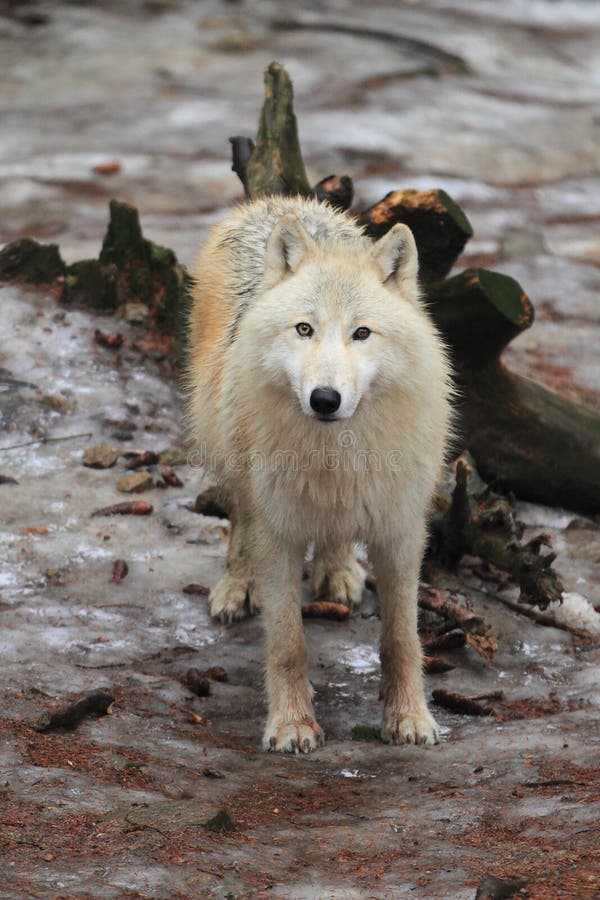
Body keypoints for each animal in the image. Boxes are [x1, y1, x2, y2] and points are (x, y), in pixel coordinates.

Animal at [187, 196, 452, 753]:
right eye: (304, 329)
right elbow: (288, 644)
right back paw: (236, 585)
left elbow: (402, 639)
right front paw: (292, 724)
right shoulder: (278, 534)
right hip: (228, 452)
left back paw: (338, 571)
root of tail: (281, 201)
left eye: (362, 332)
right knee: (238, 517)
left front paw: (409, 718)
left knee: (335, 534)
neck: (337, 457)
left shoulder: (401, 530)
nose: (324, 399)